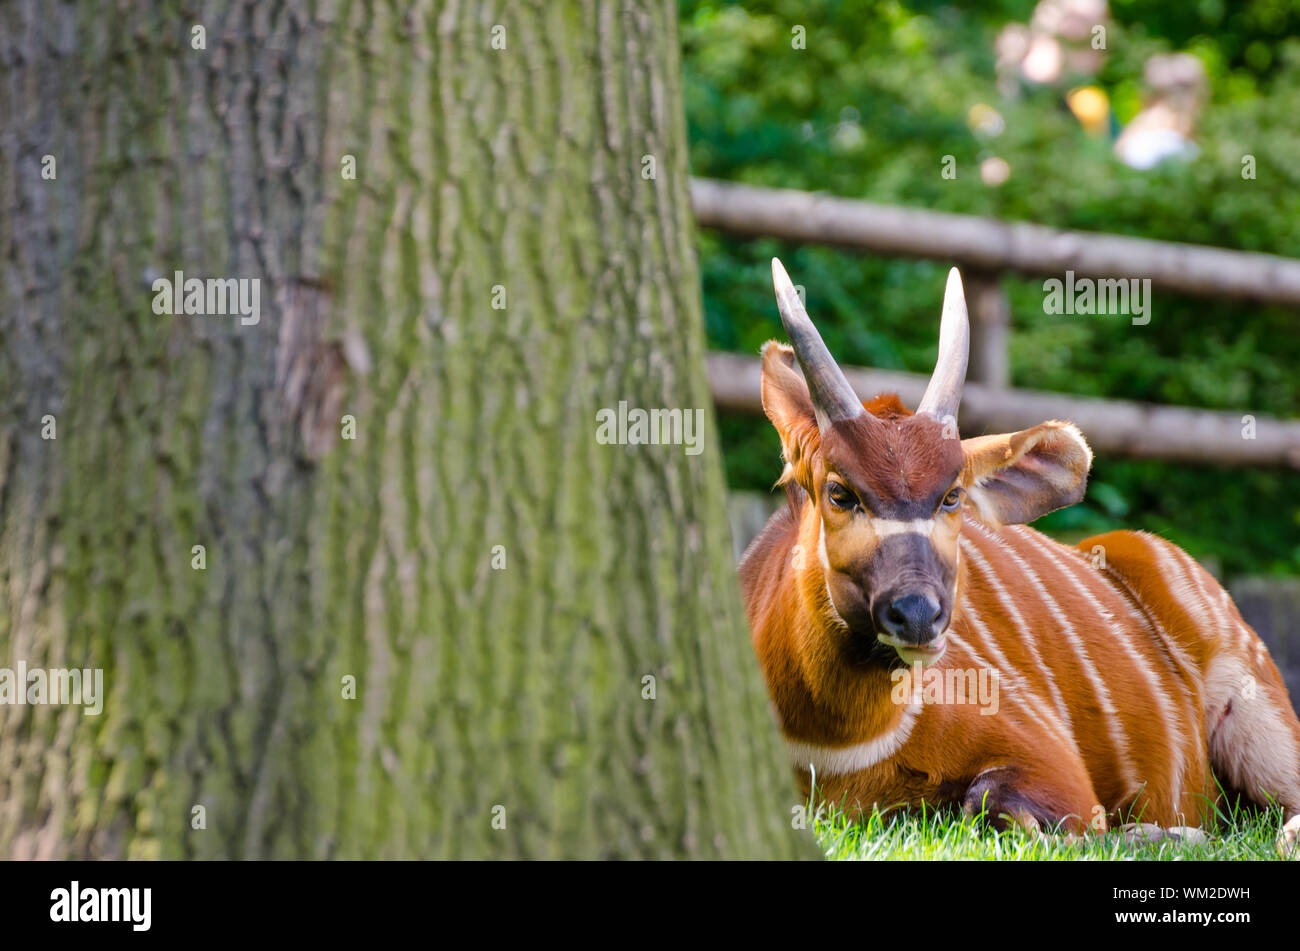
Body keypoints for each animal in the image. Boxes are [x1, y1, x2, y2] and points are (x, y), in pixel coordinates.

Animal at [739, 258, 1300, 855]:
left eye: (952, 495)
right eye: (839, 492)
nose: (917, 616)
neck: (836, 746)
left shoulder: (1051, 762)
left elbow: (1009, 812)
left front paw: (1160, 833)